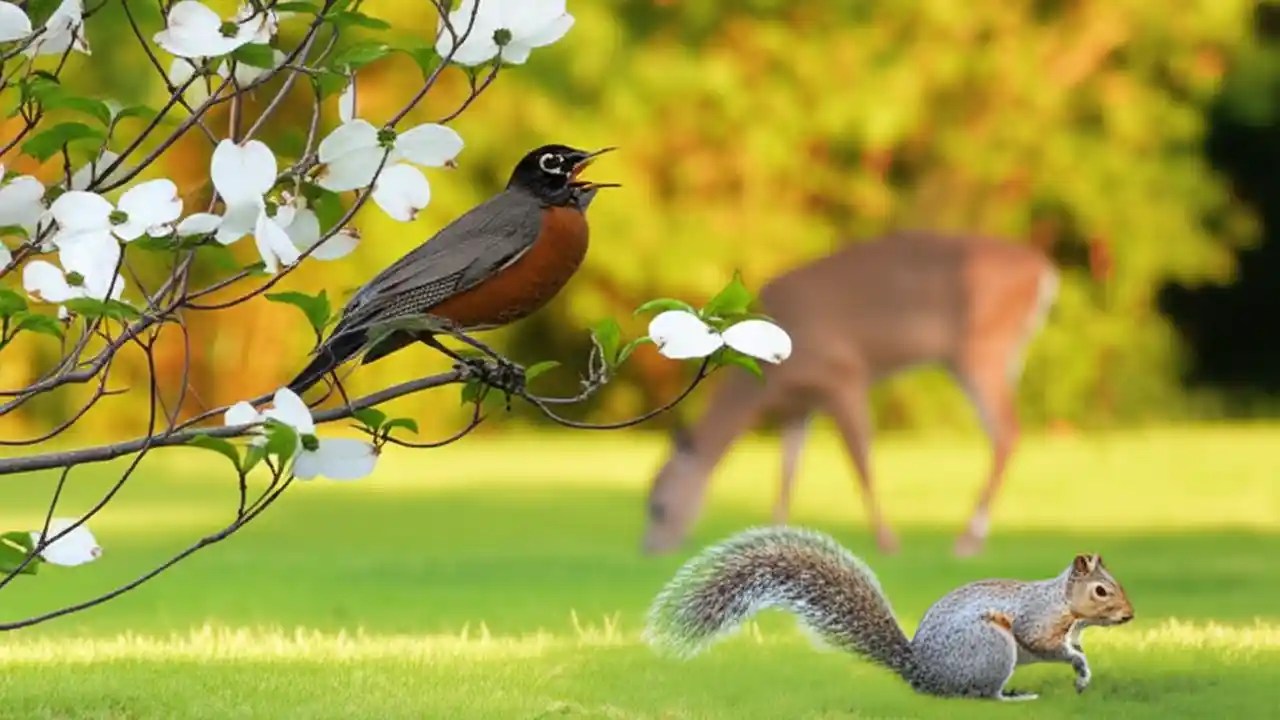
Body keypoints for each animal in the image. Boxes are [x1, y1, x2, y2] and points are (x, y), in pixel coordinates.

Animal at [642, 231, 1059, 557]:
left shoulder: (844, 376)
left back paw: (966, 541)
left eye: (658, 506)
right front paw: (773, 536)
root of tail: (1046, 273)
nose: (649, 549)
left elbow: (860, 461)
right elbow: (787, 472)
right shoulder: (800, 404)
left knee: (1006, 429)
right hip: (1002, 355)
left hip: (981, 351)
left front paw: (888, 542)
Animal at [644, 526, 1134, 701]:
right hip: (992, 648)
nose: (1129, 616)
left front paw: (1083, 670)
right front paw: (1077, 665)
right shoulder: (1035, 622)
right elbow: (1047, 644)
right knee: (979, 695)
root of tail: (922, 673)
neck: (1063, 604)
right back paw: (1011, 697)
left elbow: (1076, 647)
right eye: (1101, 590)